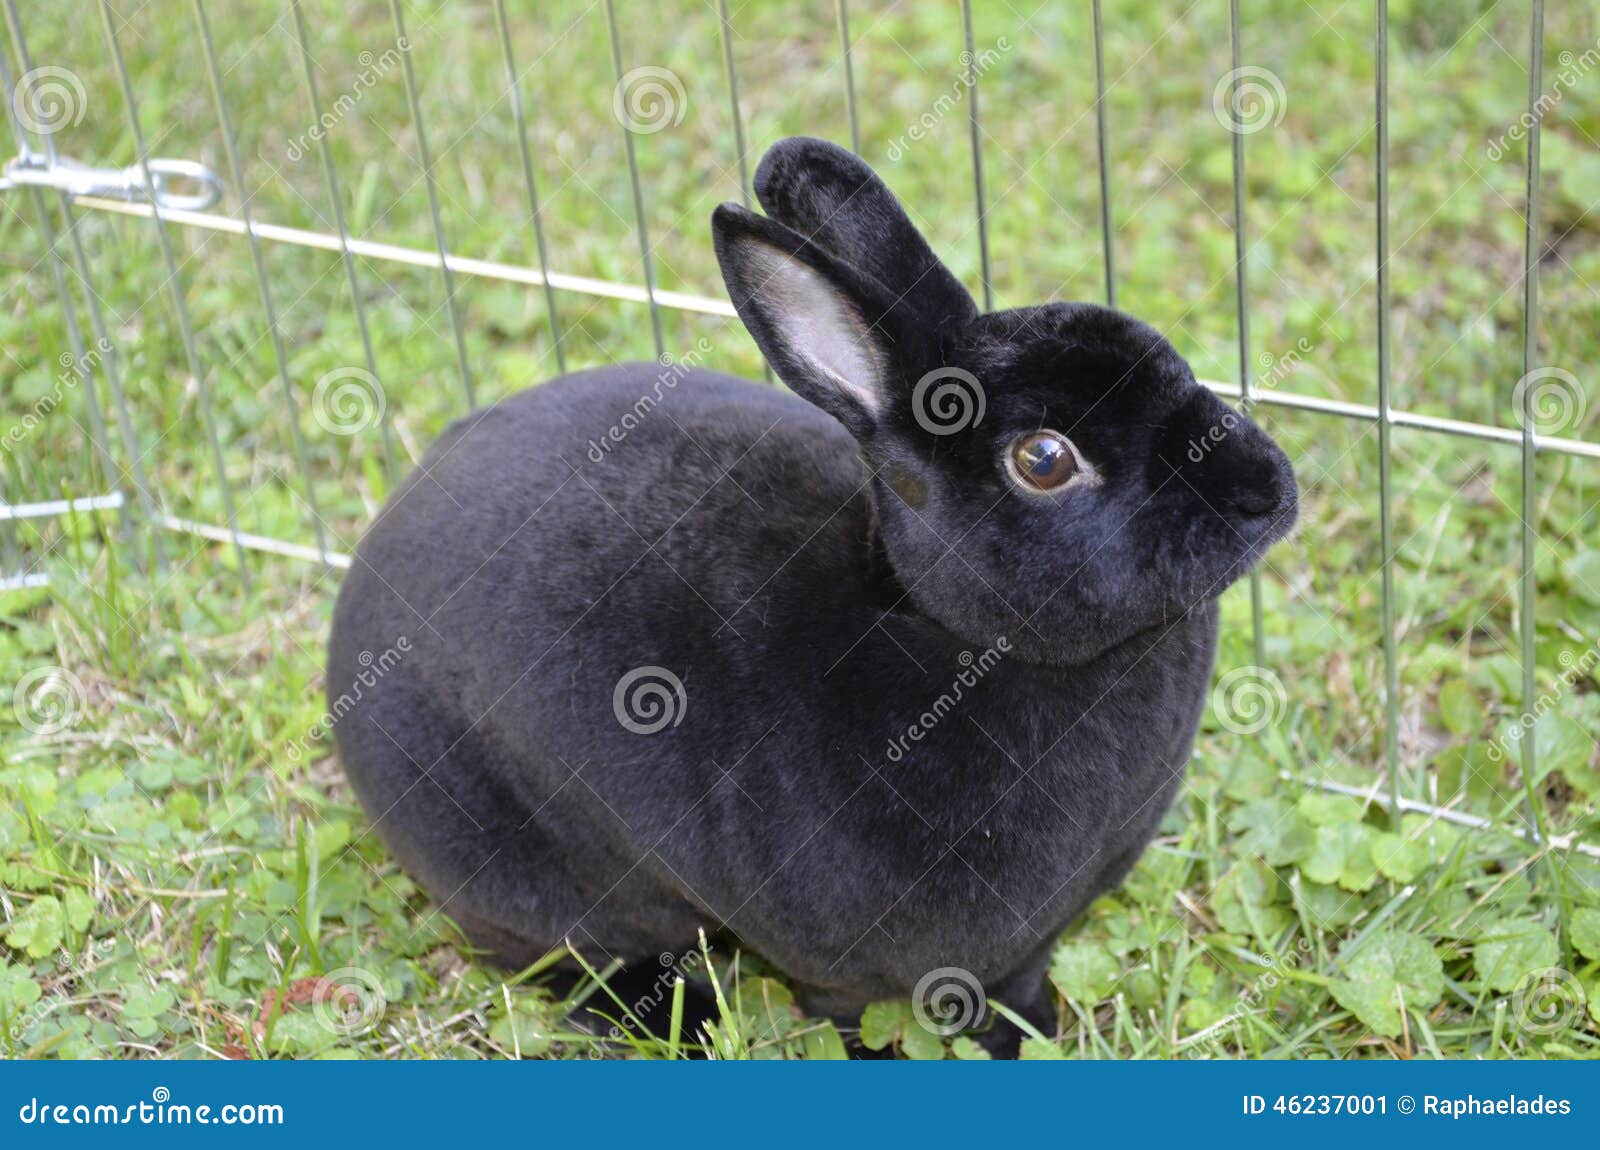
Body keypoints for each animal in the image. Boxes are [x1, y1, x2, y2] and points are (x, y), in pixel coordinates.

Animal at [326, 136, 1298, 1056]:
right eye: (1045, 460)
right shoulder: (843, 965)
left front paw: (1032, 1037)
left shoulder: (1031, 942)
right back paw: (689, 1022)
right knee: (573, 963)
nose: (1266, 488)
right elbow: (855, 1014)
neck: (941, 626)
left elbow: (1017, 990)